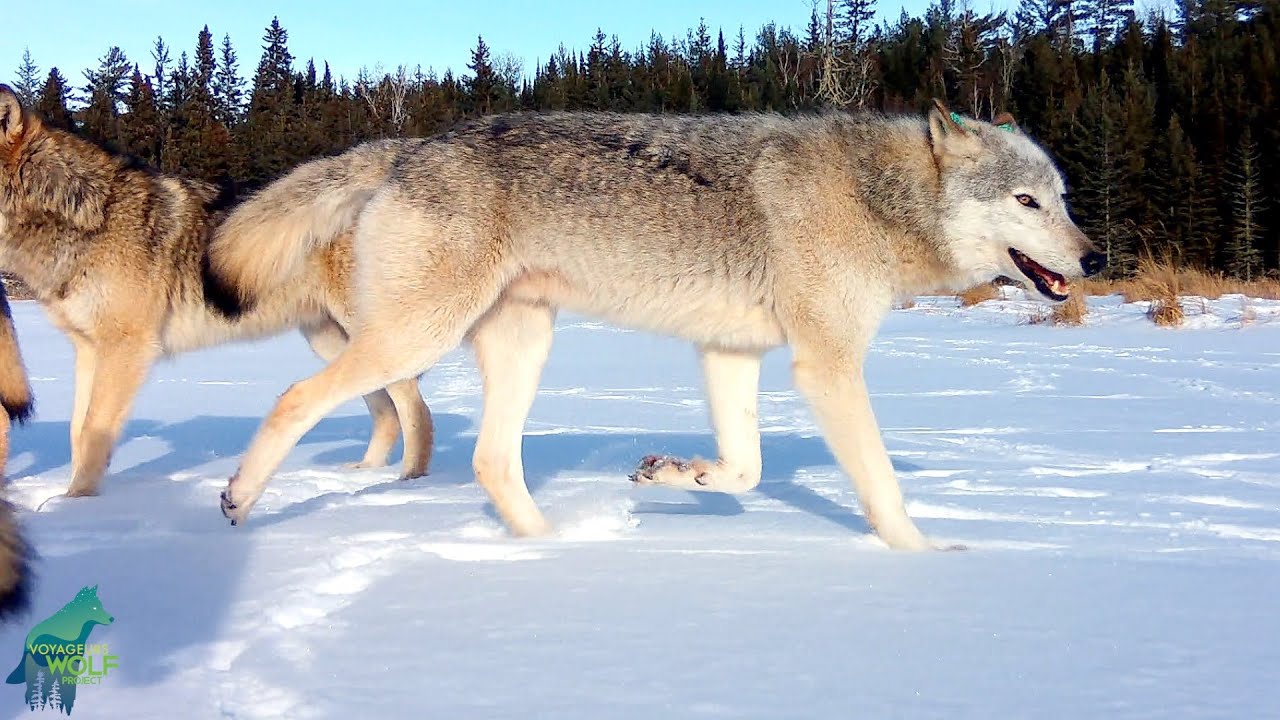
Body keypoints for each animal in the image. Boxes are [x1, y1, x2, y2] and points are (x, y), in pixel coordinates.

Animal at [0, 84, 435, 499]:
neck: (85, 216)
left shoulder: (126, 348)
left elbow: (94, 432)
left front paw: (78, 503)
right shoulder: (88, 349)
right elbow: (77, 432)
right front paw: (70, 501)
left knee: (415, 408)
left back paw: (409, 484)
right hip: (329, 341)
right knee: (384, 410)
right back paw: (364, 474)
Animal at [211, 100, 1105, 551]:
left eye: (1062, 199)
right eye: (1026, 201)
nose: (1094, 257)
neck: (878, 199)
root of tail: (409, 145)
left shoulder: (731, 353)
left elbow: (745, 470)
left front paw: (679, 475)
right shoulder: (825, 367)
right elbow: (880, 485)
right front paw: (926, 561)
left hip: (523, 347)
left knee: (493, 463)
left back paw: (556, 550)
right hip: (413, 339)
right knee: (295, 398)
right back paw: (240, 499)